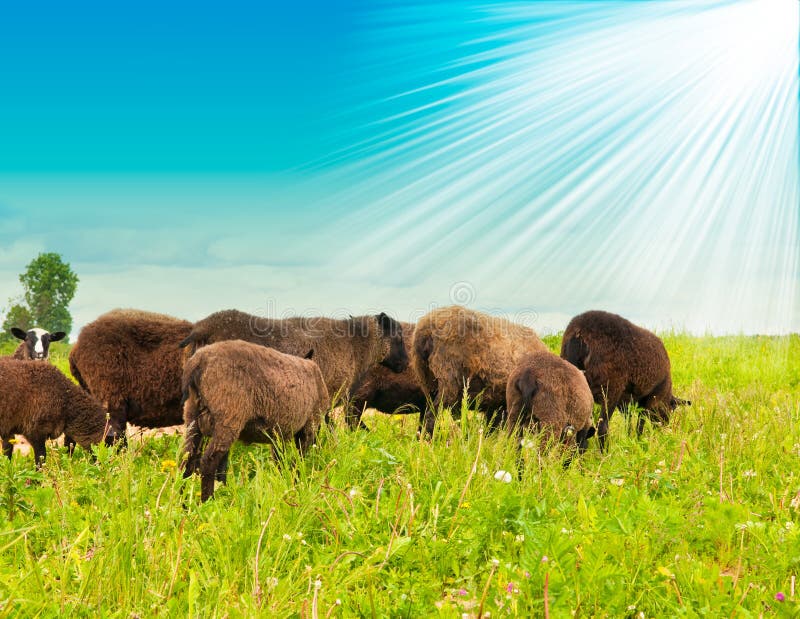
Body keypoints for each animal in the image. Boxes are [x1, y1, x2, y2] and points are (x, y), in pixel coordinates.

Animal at [181, 340, 330, 501]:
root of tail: (198, 363)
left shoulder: (279, 435)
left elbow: (280, 460)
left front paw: (282, 482)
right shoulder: (309, 426)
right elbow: (298, 459)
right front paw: (295, 484)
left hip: (192, 418)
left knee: (186, 460)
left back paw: (182, 501)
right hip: (228, 417)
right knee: (208, 462)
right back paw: (207, 501)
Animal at [560, 310, 690, 451]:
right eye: (672, 408)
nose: (664, 428)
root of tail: (579, 334)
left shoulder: (624, 401)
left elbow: (628, 420)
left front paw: (629, 439)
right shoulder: (650, 398)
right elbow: (640, 422)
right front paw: (638, 440)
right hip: (610, 389)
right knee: (602, 427)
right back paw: (605, 453)